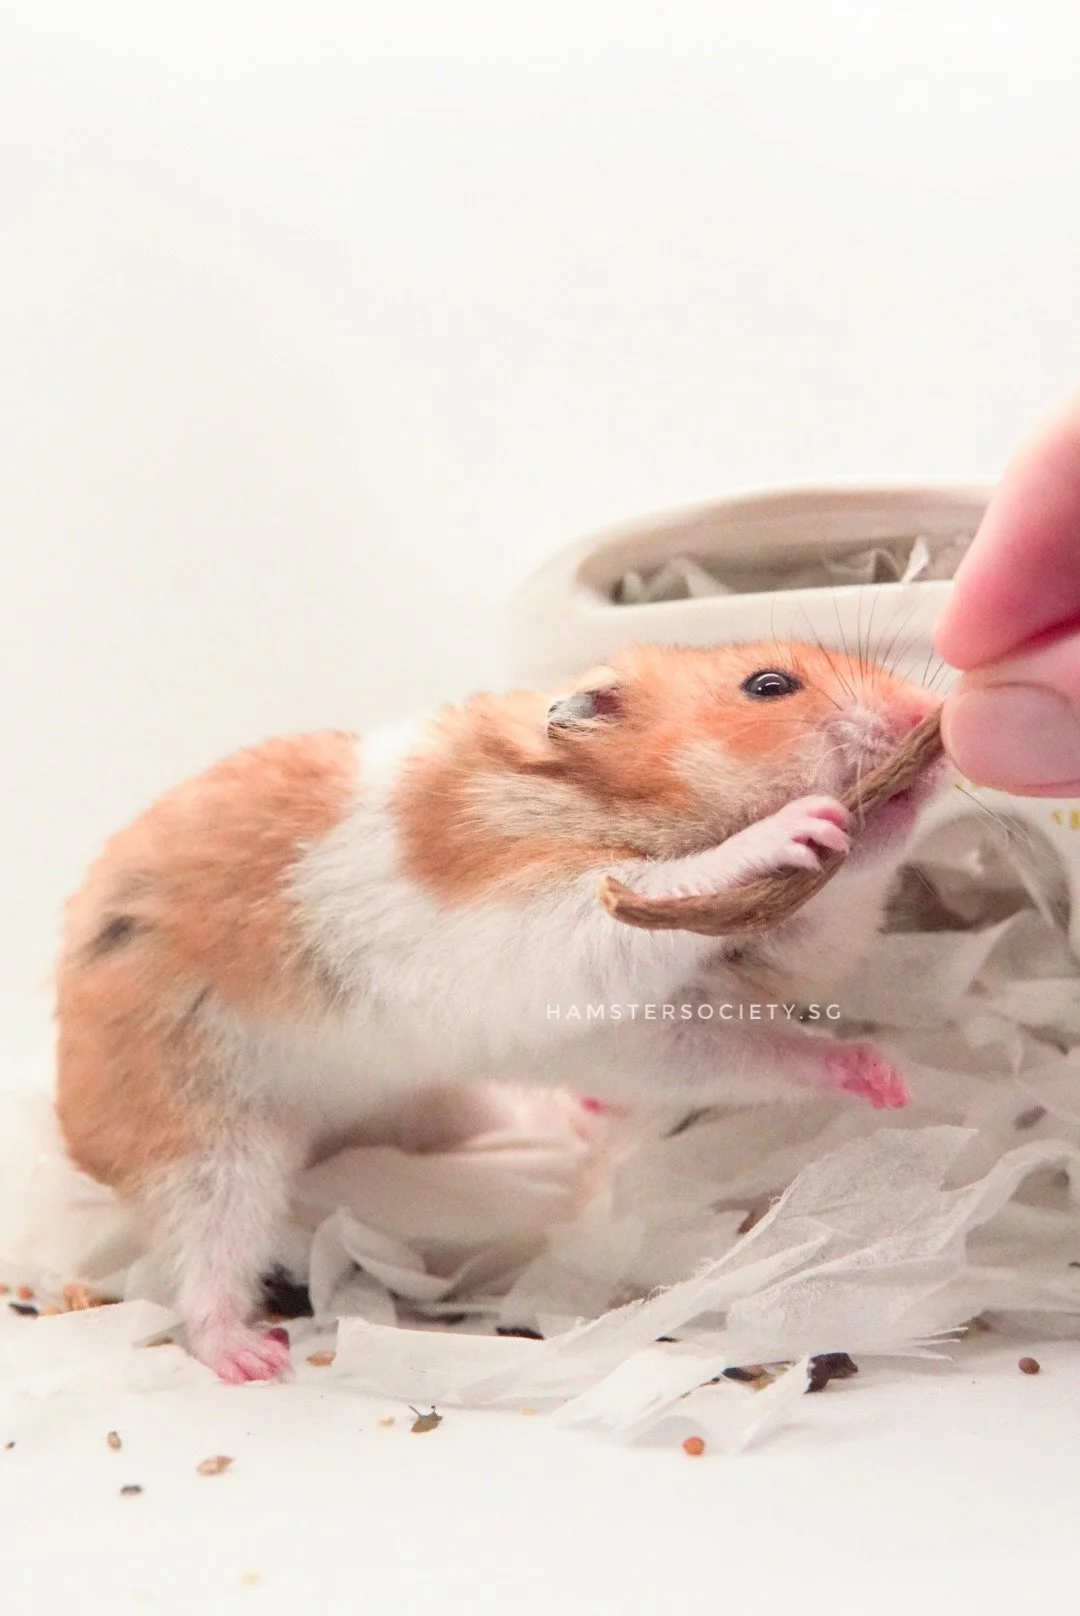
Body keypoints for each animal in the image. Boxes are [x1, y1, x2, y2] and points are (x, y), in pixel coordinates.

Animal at [55, 641, 945, 1381]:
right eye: (768, 685)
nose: (925, 712)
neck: (610, 802)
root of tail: (73, 1133)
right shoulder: (536, 917)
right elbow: (660, 881)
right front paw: (801, 828)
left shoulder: (639, 1035)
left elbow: (766, 1054)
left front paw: (889, 1081)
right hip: (206, 1141)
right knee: (202, 1259)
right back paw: (248, 1357)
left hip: (428, 1109)